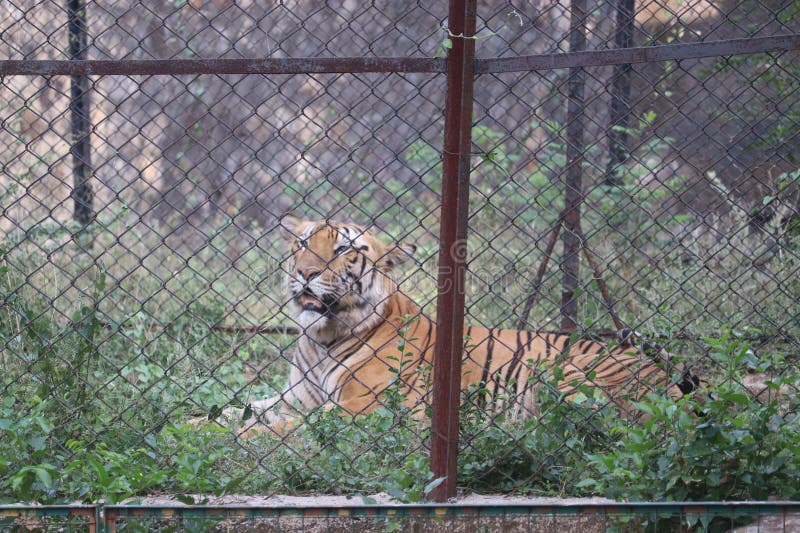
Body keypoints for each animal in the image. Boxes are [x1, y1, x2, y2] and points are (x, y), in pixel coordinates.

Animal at [210, 215, 698, 436]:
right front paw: (201, 424)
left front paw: (242, 436)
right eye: (302, 243)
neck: (322, 337)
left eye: (344, 249)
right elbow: (234, 409)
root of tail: (672, 388)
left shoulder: (362, 409)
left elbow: (282, 427)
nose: (306, 272)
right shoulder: (294, 398)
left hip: (562, 378)